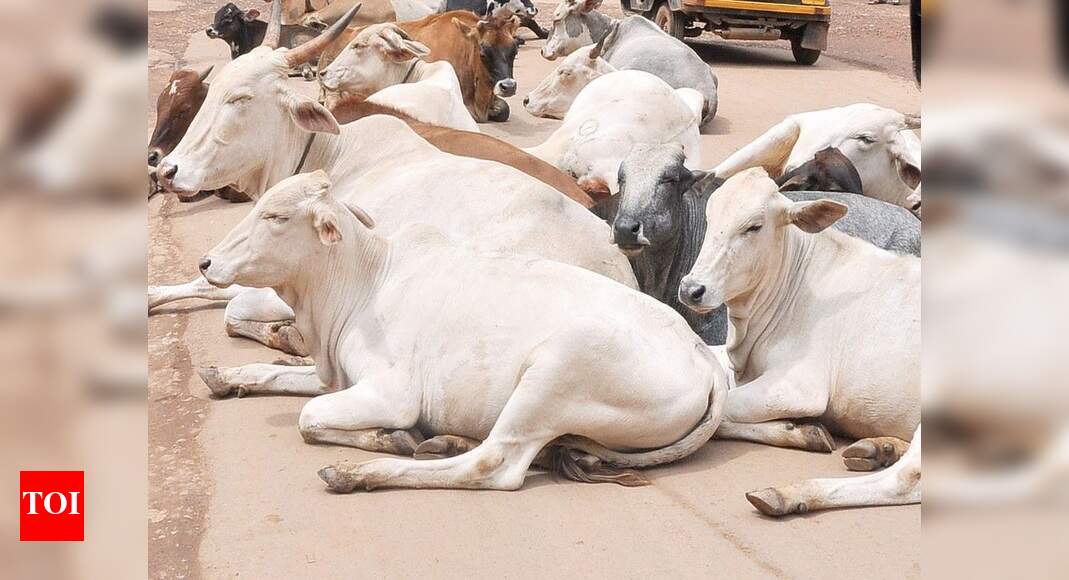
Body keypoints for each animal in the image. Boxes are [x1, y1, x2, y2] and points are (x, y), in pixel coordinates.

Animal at [196, 170, 730, 492]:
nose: (206, 262)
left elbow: (309, 418)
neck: (363, 280)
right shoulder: (336, 375)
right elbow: (275, 372)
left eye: (276, 216)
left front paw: (388, 439)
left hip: (554, 373)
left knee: (494, 465)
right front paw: (227, 376)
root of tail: (703, 356)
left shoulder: (392, 393)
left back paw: (363, 472)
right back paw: (441, 442)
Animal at [677, 168, 921, 516]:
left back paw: (786, 494)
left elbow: (716, 413)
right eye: (710, 219)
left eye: (754, 227)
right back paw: (879, 449)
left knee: (905, 479)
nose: (692, 289)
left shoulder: (800, 387)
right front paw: (804, 432)